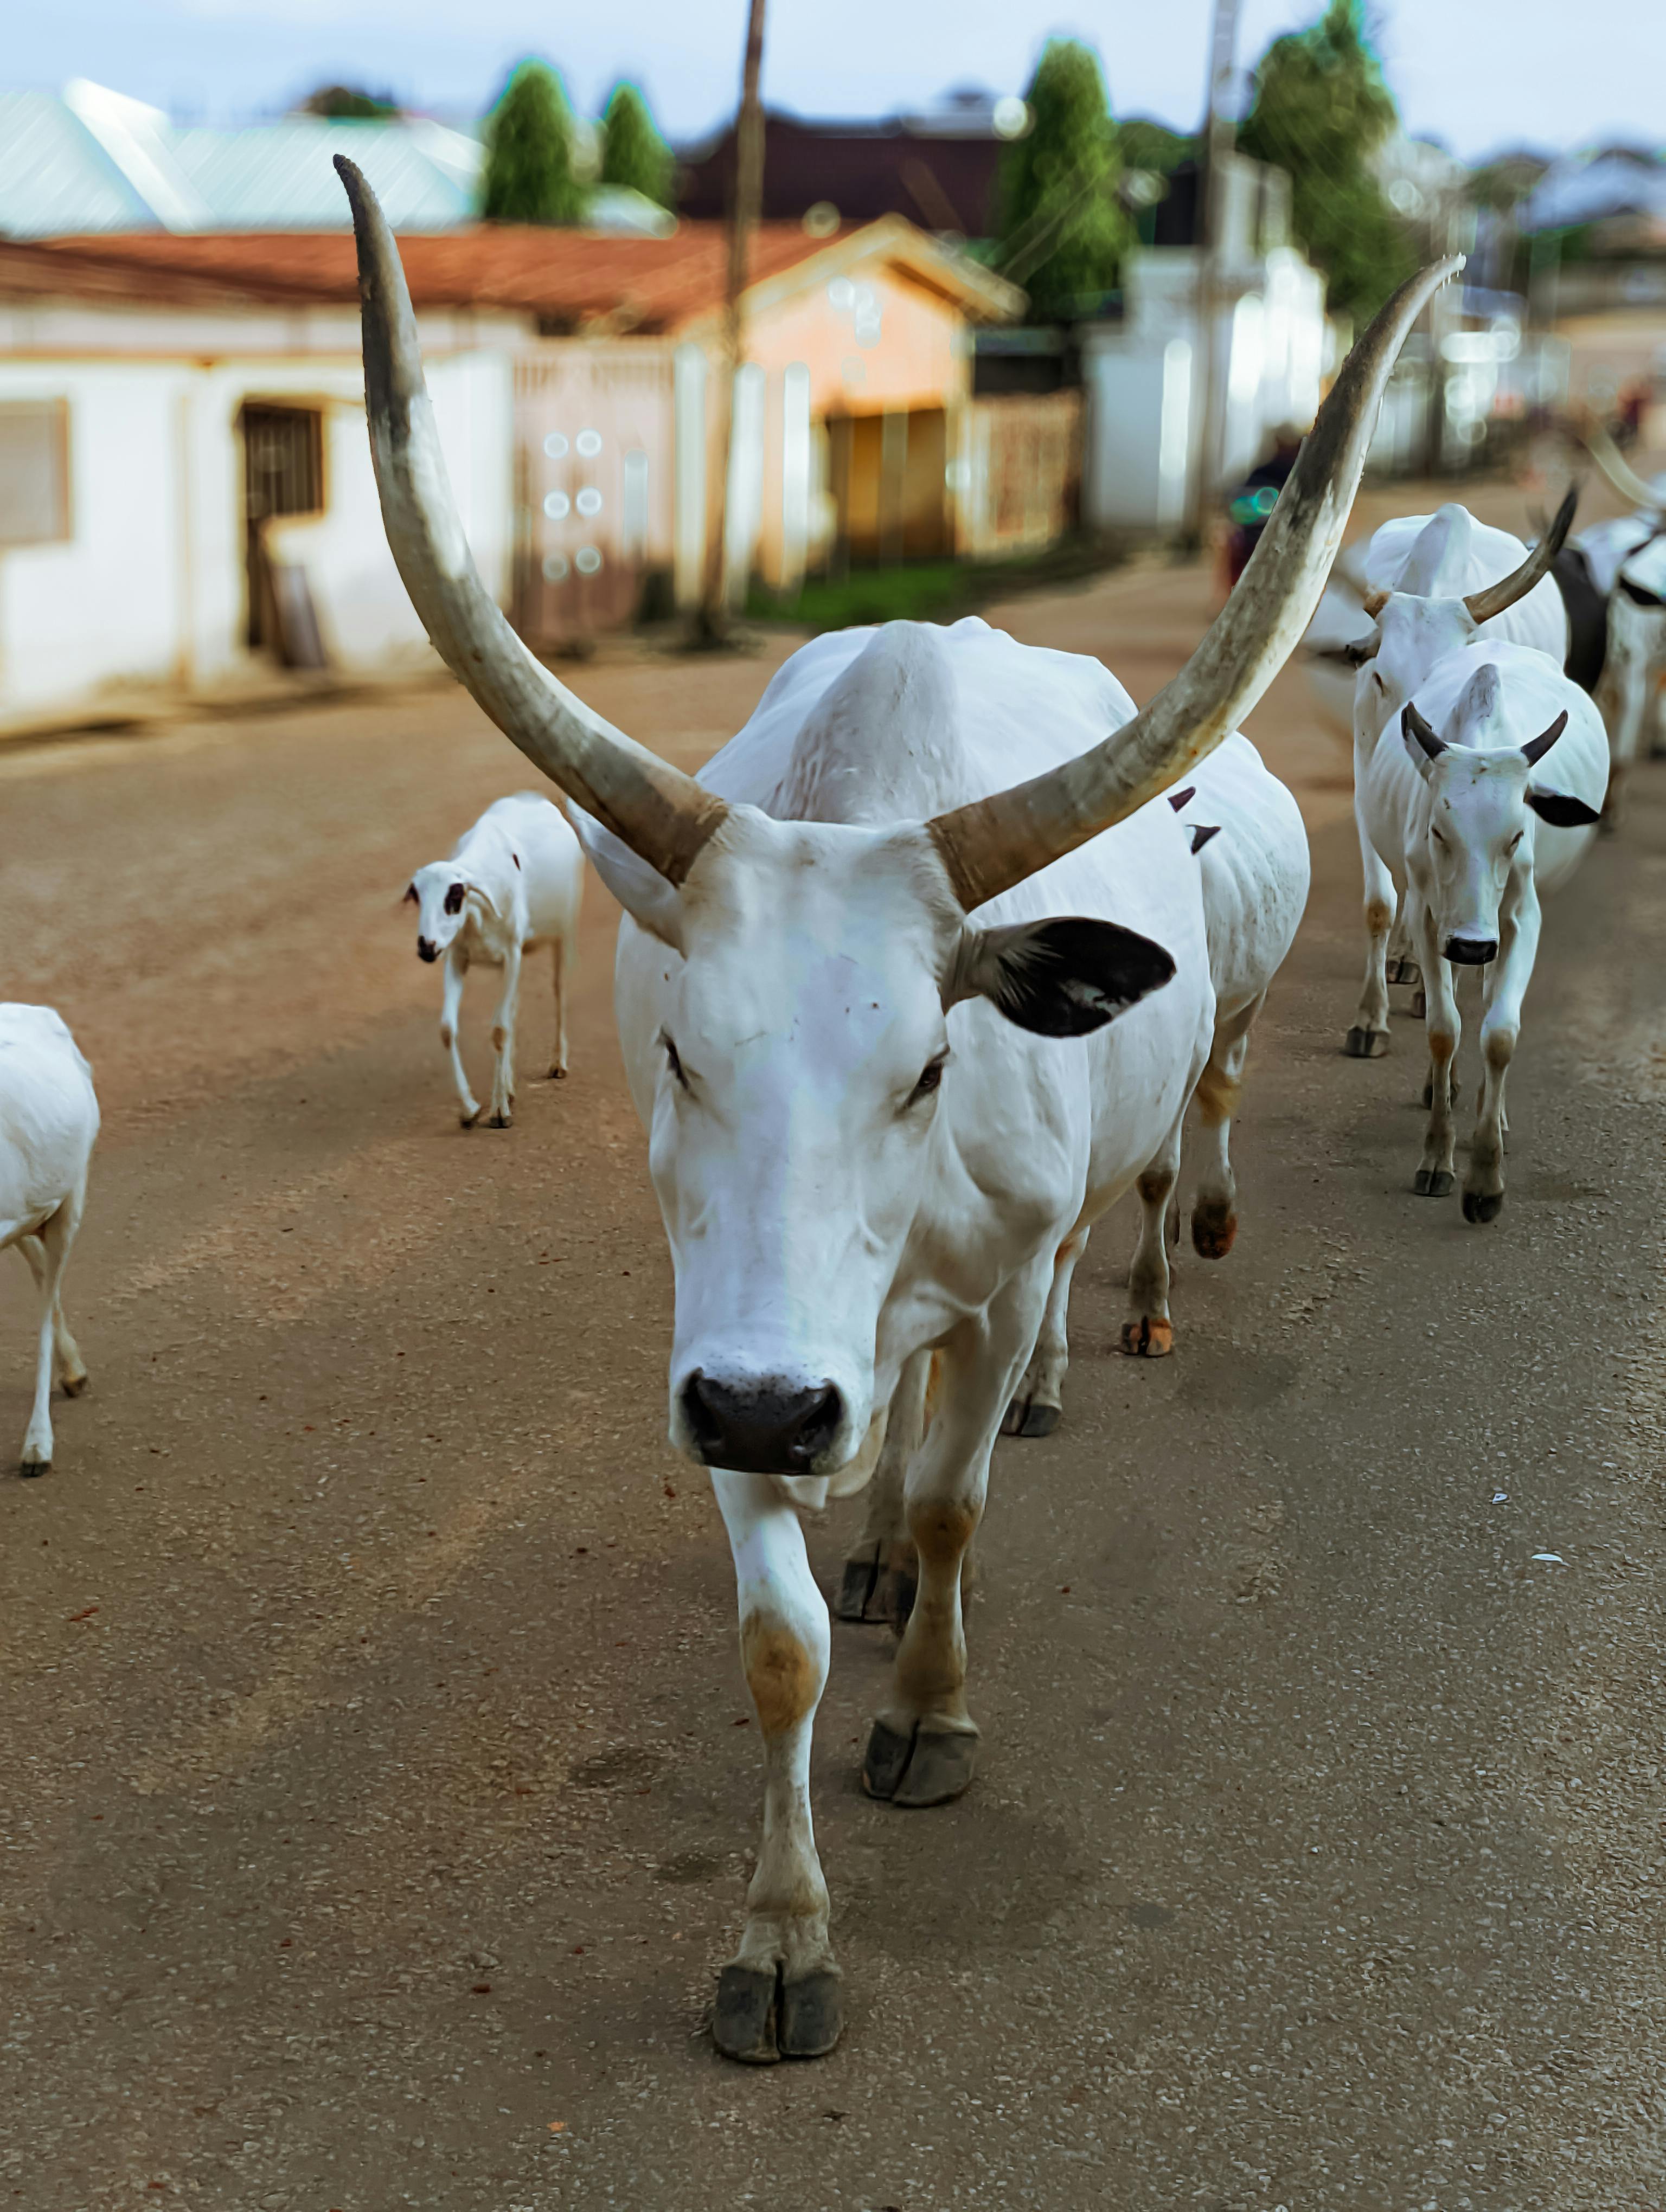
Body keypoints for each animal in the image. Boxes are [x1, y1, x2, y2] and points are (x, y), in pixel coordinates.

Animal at [404, 793, 583, 1127]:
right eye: (418, 896)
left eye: (454, 896)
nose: (426, 947)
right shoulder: (457, 957)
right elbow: (448, 1029)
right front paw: (471, 1108)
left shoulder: (512, 954)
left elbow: (499, 1030)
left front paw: (500, 1111)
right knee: (513, 1012)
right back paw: (510, 1085)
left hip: (563, 934)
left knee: (560, 991)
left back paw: (557, 1063)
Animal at [1358, 643, 1605, 1220]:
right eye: (1438, 831)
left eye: (1516, 836)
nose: (1472, 944)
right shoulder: (1429, 920)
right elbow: (1444, 1029)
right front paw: (1437, 1157)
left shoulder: (1520, 921)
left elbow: (1499, 1034)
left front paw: (1486, 1175)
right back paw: (1441, 1086)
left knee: (1491, 999)